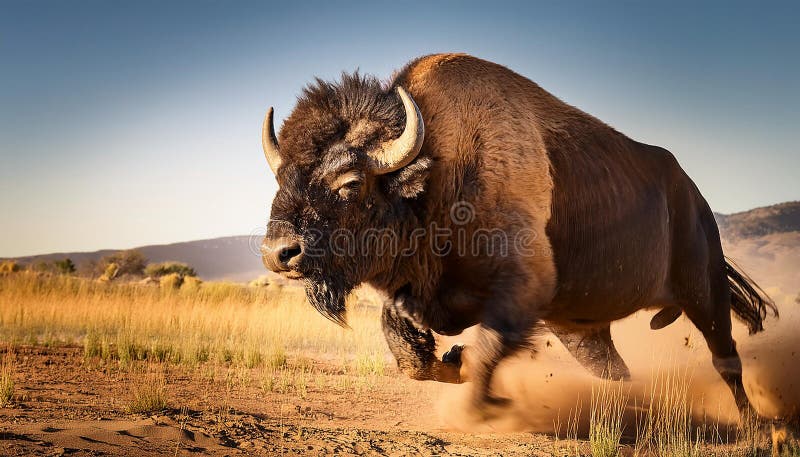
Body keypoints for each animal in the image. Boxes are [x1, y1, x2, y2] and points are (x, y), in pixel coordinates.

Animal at [260, 54, 776, 419]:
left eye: (350, 183)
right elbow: (407, 348)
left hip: (703, 291)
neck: (436, 174)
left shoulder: (526, 289)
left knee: (726, 359)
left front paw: (482, 398)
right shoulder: (416, 294)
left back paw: (753, 423)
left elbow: (488, 349)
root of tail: (692, 193)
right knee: (617, 371)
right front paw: (450, 361)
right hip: (583, 331)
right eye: (281, 176)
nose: (278, 253)